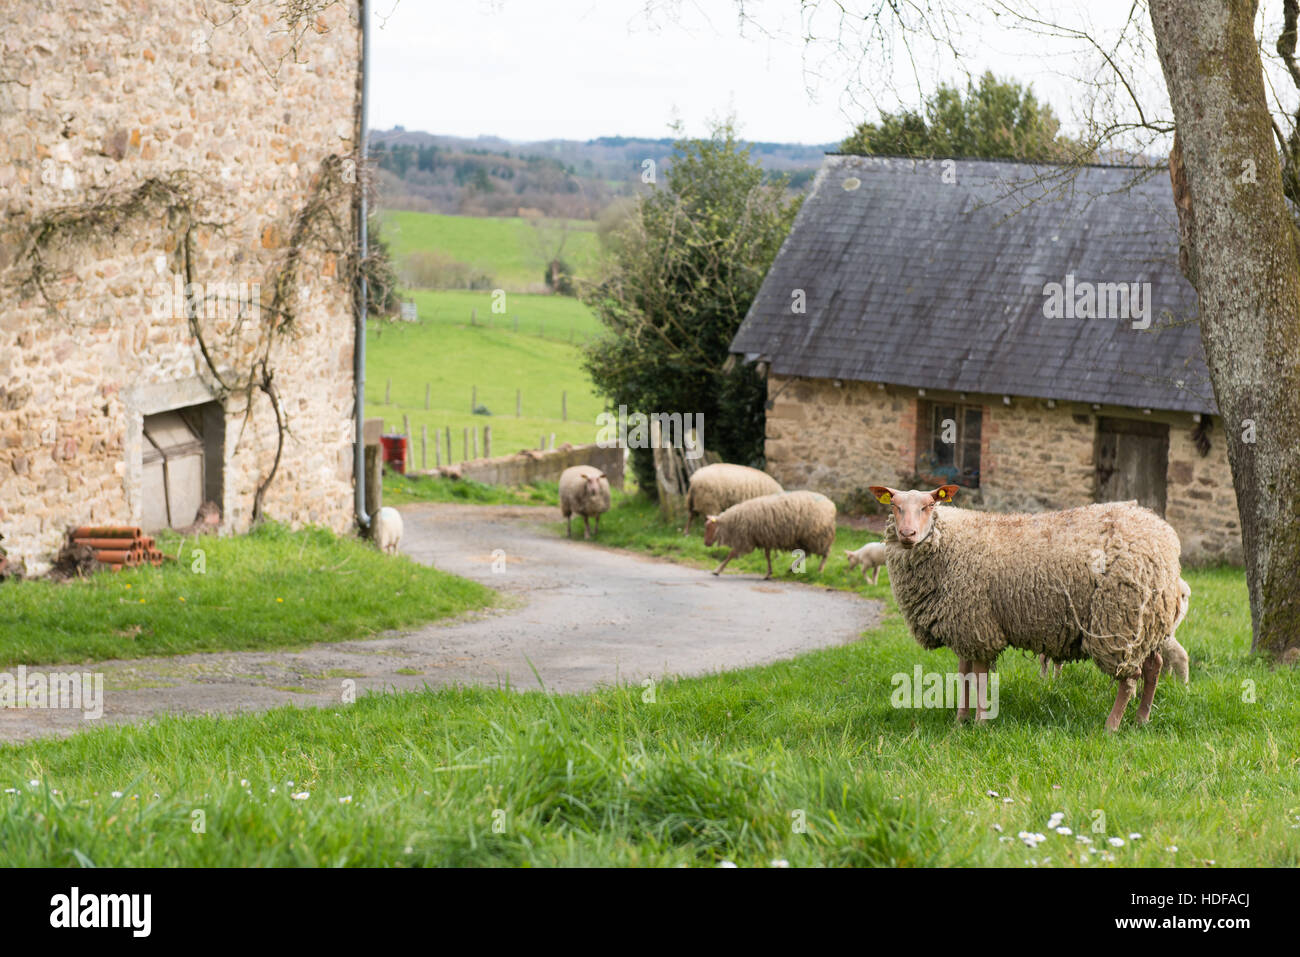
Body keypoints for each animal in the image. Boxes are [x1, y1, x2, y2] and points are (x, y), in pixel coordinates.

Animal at [704, 490, 836, 579]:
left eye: (709, 527)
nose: (705, 543)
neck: (733, 521)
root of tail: (831, 505)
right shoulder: (764, 537)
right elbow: (767, 556)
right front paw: (768, 573)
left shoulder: (745, 539)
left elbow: (731, 554)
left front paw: (717, 570)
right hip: (806, 538)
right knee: (807, 553)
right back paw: (791, 568)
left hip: (818, 536)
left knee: (826, 553)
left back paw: (819, 570)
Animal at [870, 484, 1182, 731]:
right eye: (895, 506)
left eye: (929, 505)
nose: (907, 533)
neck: (948, 543)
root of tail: (1164, 536)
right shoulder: (963, 626)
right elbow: (964, 674)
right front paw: (960, 720)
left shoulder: (979, 625)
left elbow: (979, 676)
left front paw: (980, 723)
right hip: (1147, 622)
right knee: (1154, 665)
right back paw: (1141, 719)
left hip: (1119, 622)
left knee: (1129, 678)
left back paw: (1111, 726)